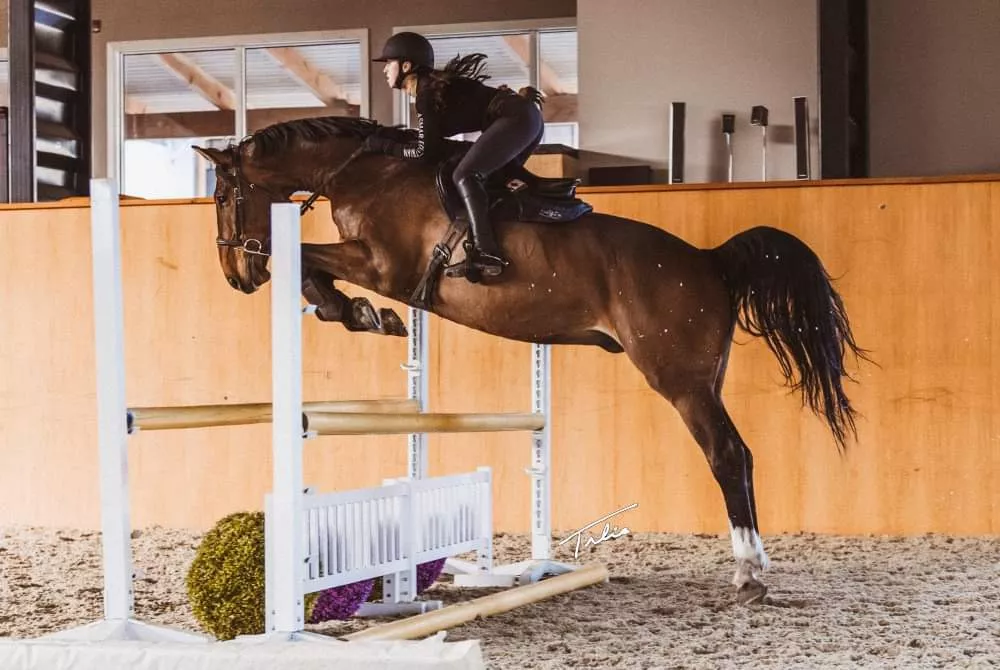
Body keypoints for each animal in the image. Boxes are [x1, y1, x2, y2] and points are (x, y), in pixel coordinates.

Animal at [193, 115, 868, 605]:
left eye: (224, 195)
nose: (234, 276)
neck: (366, 177)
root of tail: (710, 259)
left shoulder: (383, 266)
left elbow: (308, 260)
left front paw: (357, 311)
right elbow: (311, 266)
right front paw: (361, 314)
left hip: (681, 382)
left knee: (729, 455)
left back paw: (750, 574)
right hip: (706, 378)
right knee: (738, 457)